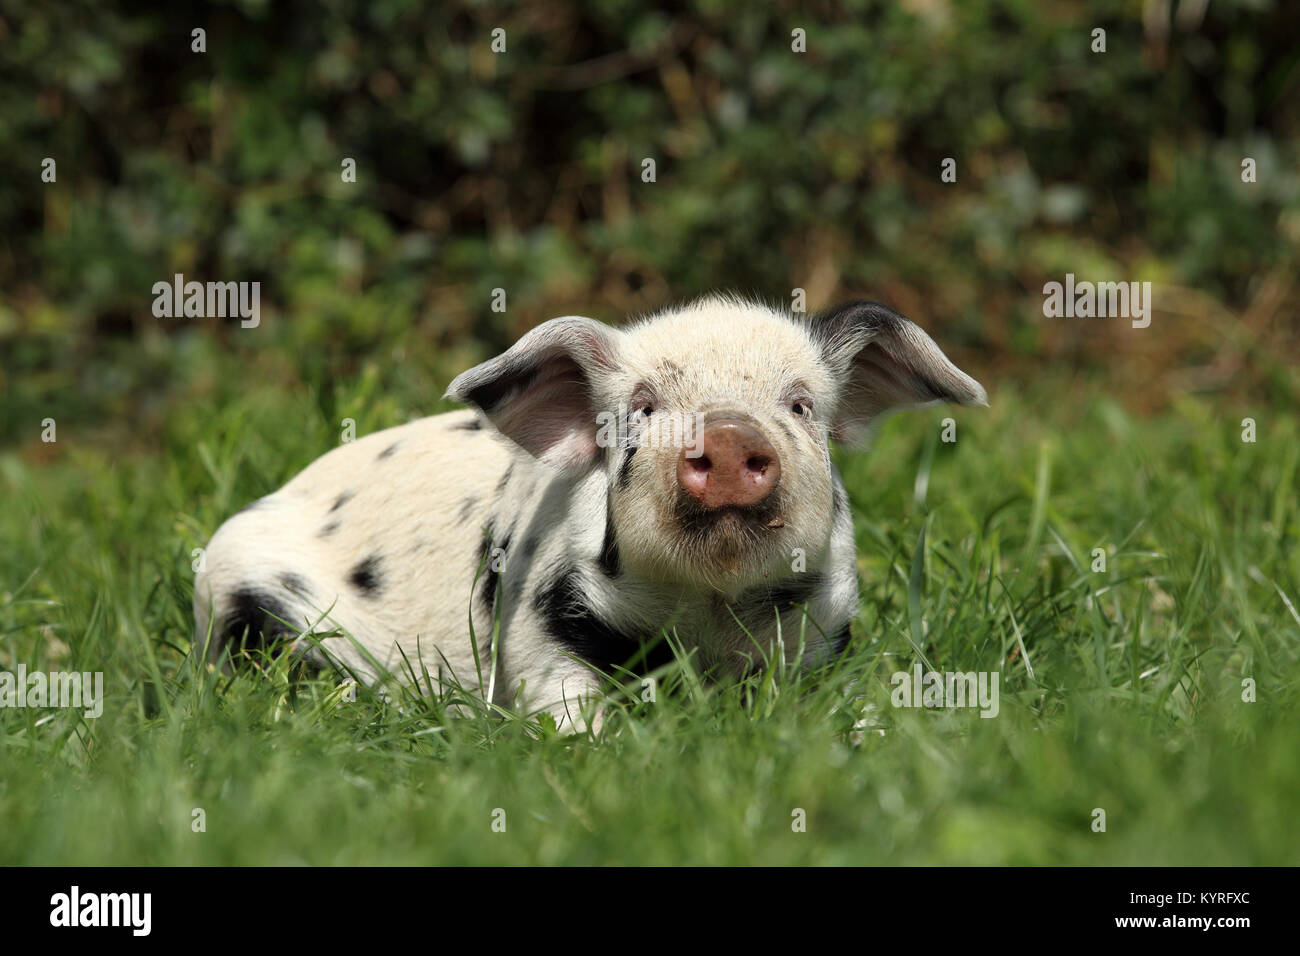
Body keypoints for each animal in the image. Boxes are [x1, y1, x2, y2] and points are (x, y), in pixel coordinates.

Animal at [192, 296, 986, 731]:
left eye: (799, 405)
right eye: (642, 408)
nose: (728, 433)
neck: (708, 618)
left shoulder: (824, 629)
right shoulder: (544, 627)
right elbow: (566, 707)